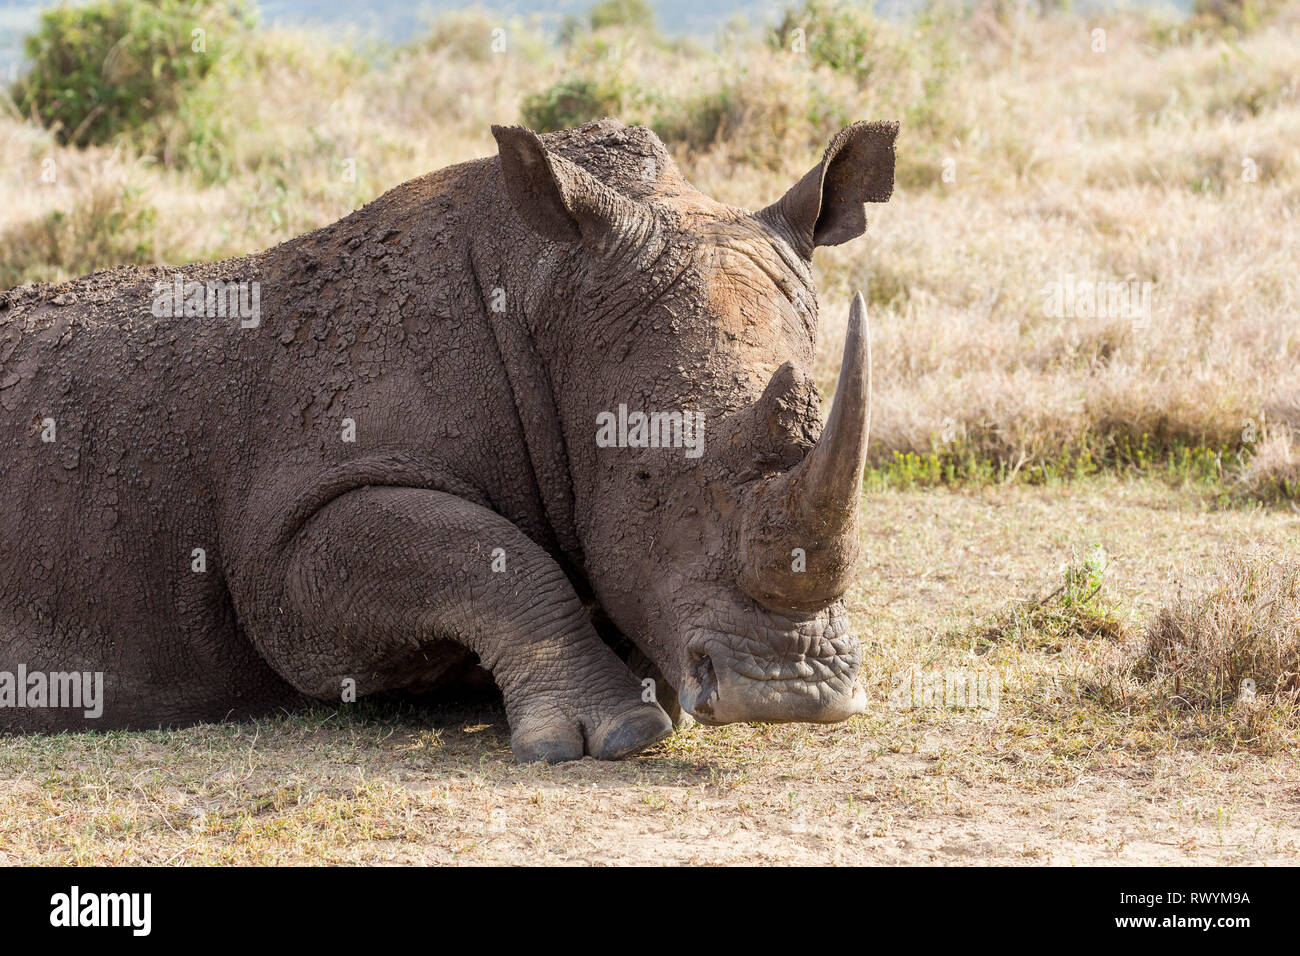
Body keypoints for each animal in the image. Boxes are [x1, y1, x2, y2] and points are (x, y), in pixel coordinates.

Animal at [0, 118, 896, 760]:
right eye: (647, 478)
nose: (790, 692)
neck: (545, 294)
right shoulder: (294, 531)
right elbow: (485, 558)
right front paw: (611, 735)